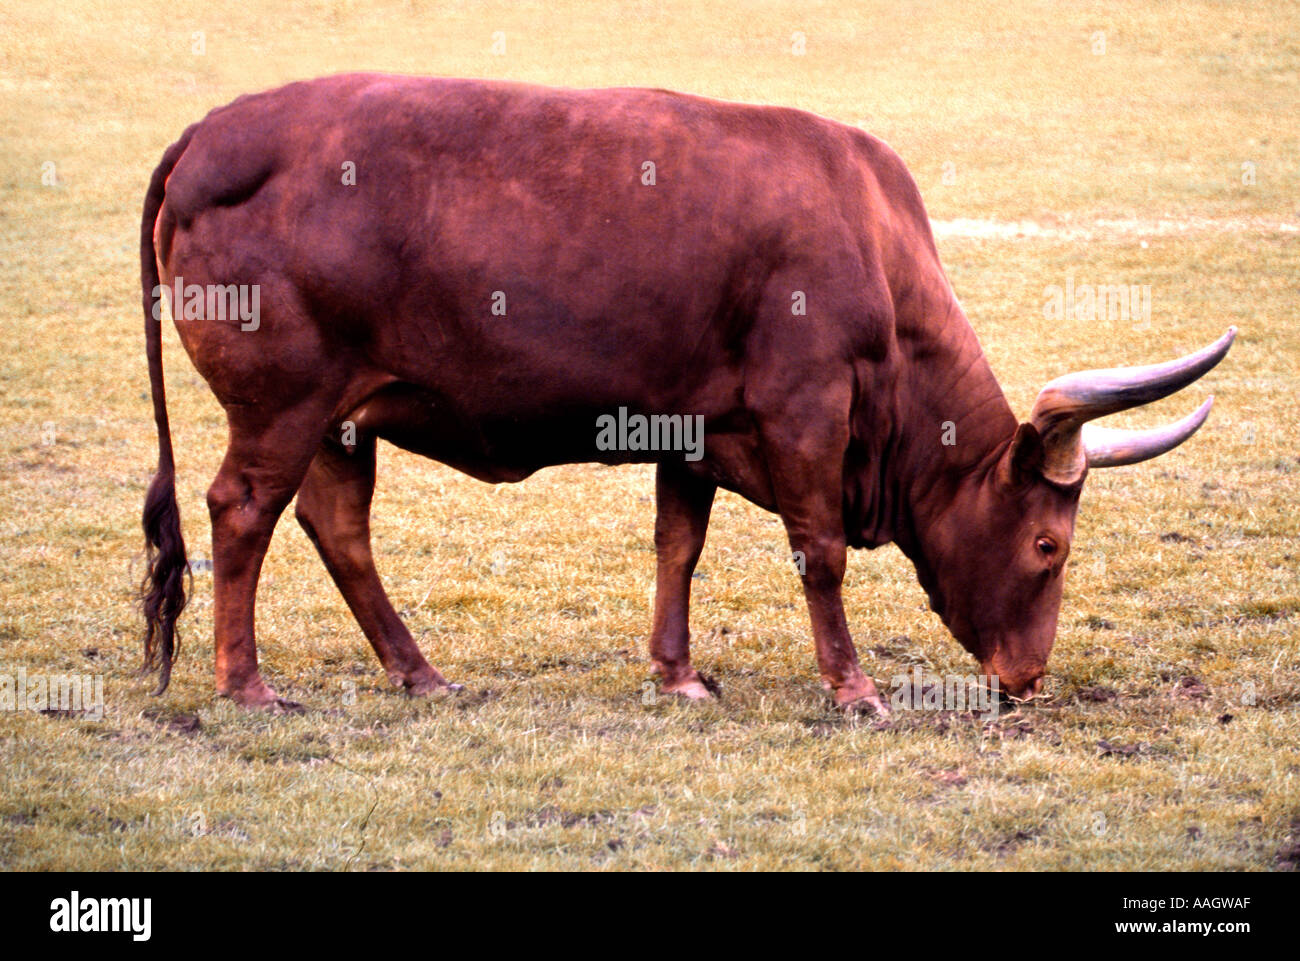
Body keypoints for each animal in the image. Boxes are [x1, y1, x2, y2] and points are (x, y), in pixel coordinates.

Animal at [138, 74, 1235, 713]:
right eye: (1049, 546)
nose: (1026, 677)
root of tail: (213, 133)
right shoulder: (805, 408)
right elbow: (820, 553)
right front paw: (852, 687)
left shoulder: (691, 425)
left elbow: (680, 543)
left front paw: (677, 672)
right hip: (282, 405)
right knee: (241, 512)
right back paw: (246, 684)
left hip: (340, 419)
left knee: (337, 529)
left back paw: (420, 671)